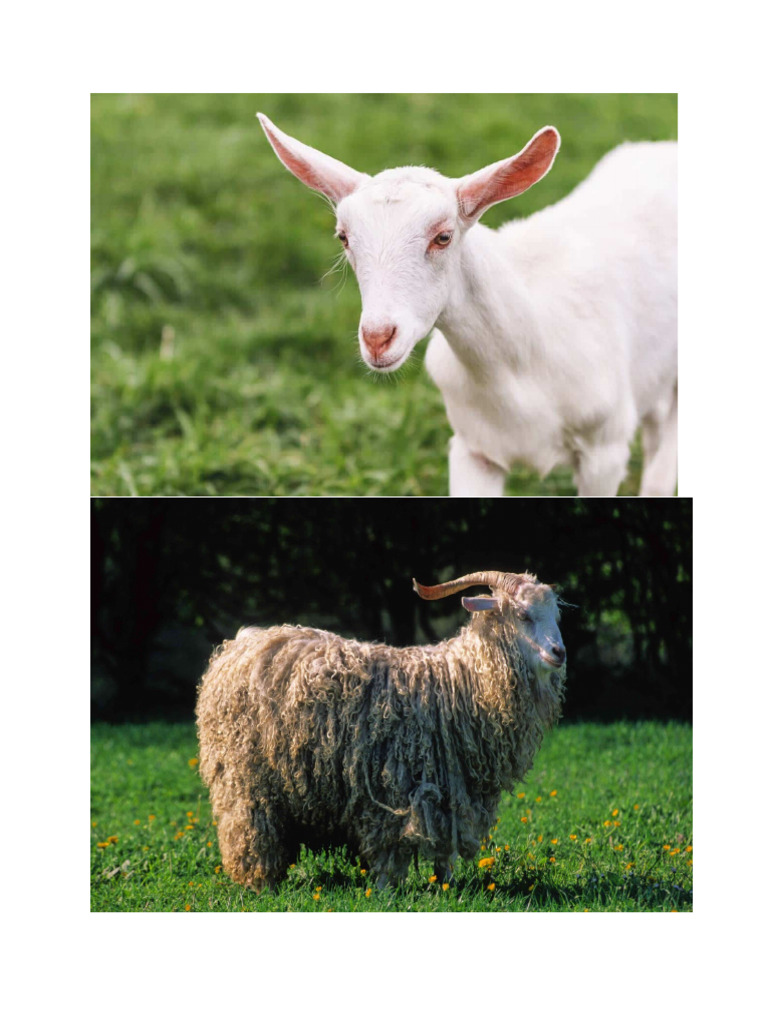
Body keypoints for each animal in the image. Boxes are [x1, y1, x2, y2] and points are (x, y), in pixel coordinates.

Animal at [196, 570, 566, 891]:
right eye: (523, 614)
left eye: (555, 615)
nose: (559, 653)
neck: (460, 681)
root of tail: (237, 646)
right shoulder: (391, 790)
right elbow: (390, 849)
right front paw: (387, 892)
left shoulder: (454, 794)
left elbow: (445, 851)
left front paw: (447, 888)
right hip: (245, 779)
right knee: (251, 831)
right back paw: (261, 886)